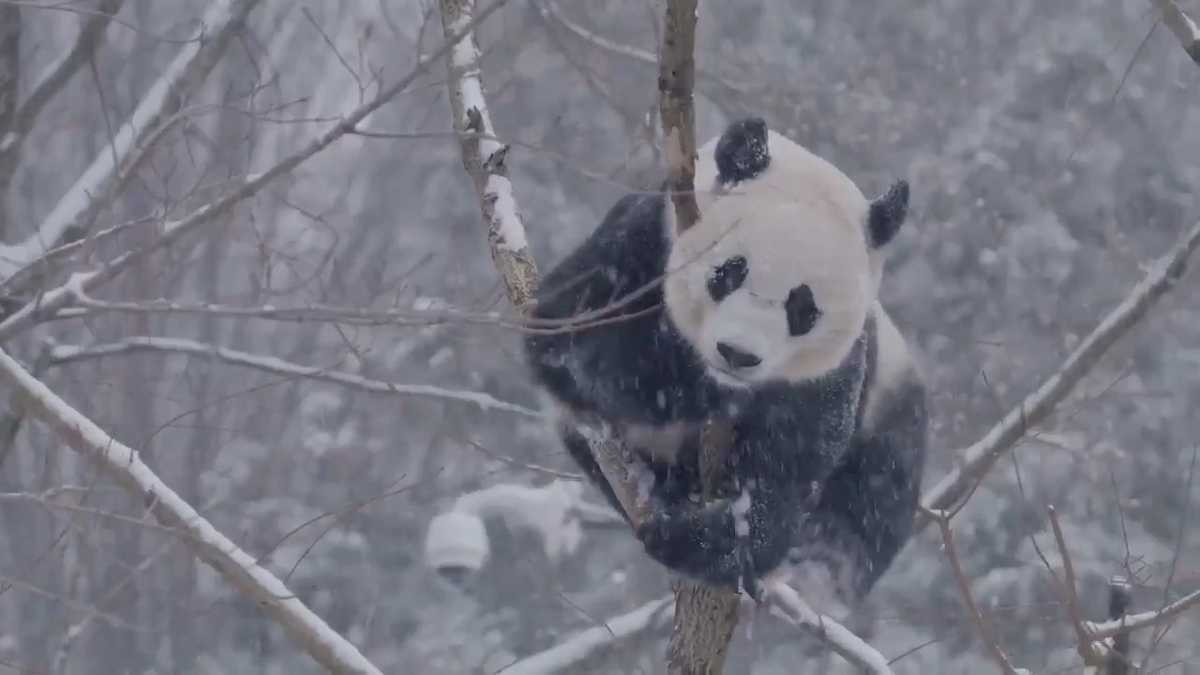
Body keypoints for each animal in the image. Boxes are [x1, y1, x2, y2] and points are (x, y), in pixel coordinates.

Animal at [524, 117, 927, 608]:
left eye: (803, 308)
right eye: (729, 272)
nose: (738, 354)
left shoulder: (838, 367)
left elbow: (789, 465)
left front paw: (704, 541)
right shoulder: (639, 240)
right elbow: (570, 338)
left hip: (893, 402)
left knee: (876, 491)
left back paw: (818, 564)